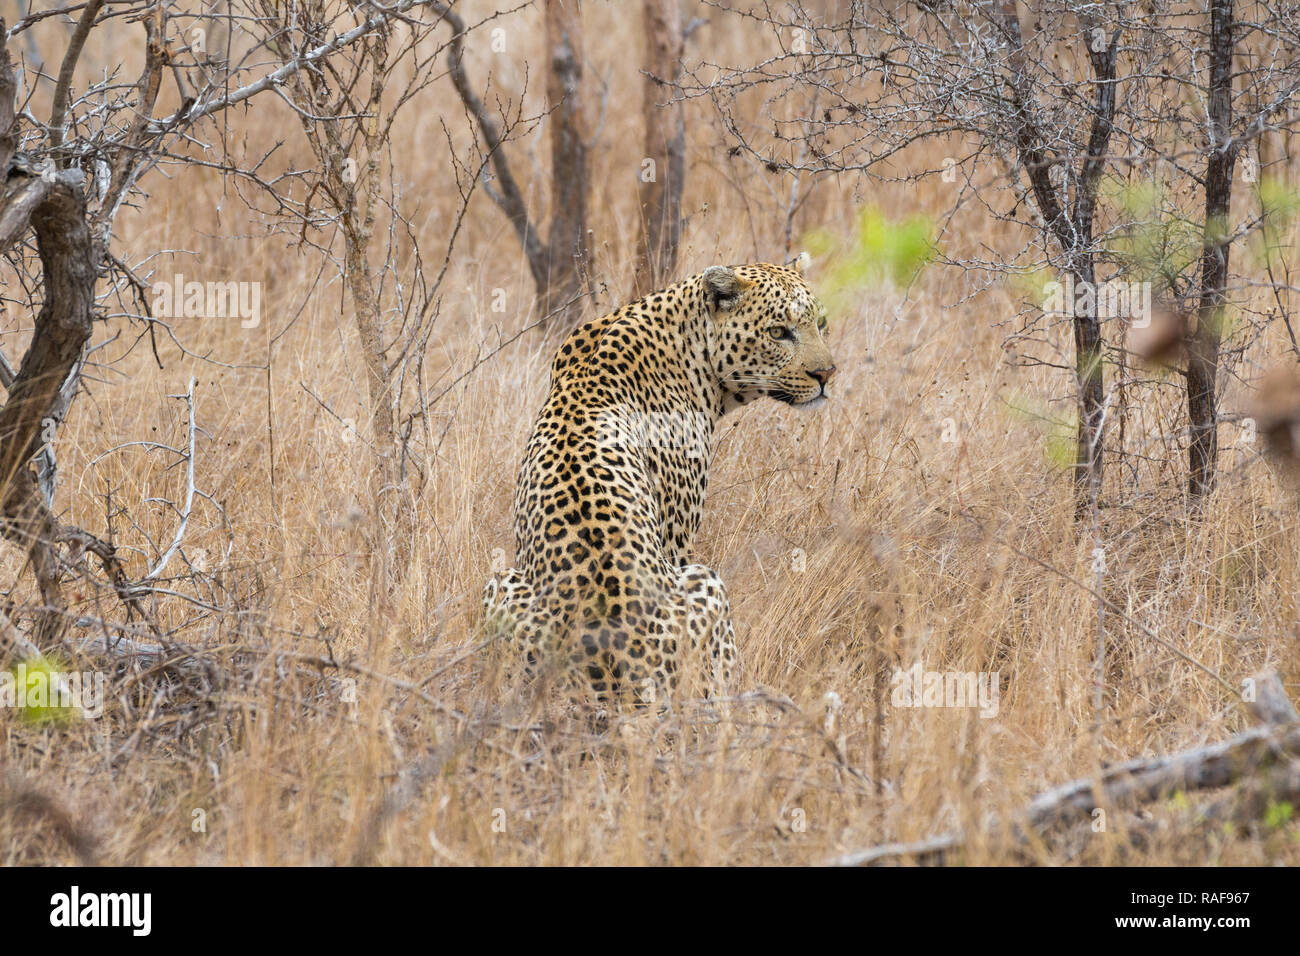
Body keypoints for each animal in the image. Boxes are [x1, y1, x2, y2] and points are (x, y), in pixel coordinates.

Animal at [480, 255, 835, 708]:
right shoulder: (676, 538)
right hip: (706, 582)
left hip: (500, 587)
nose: (827, 374)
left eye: (820, 324)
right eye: (778, 332)